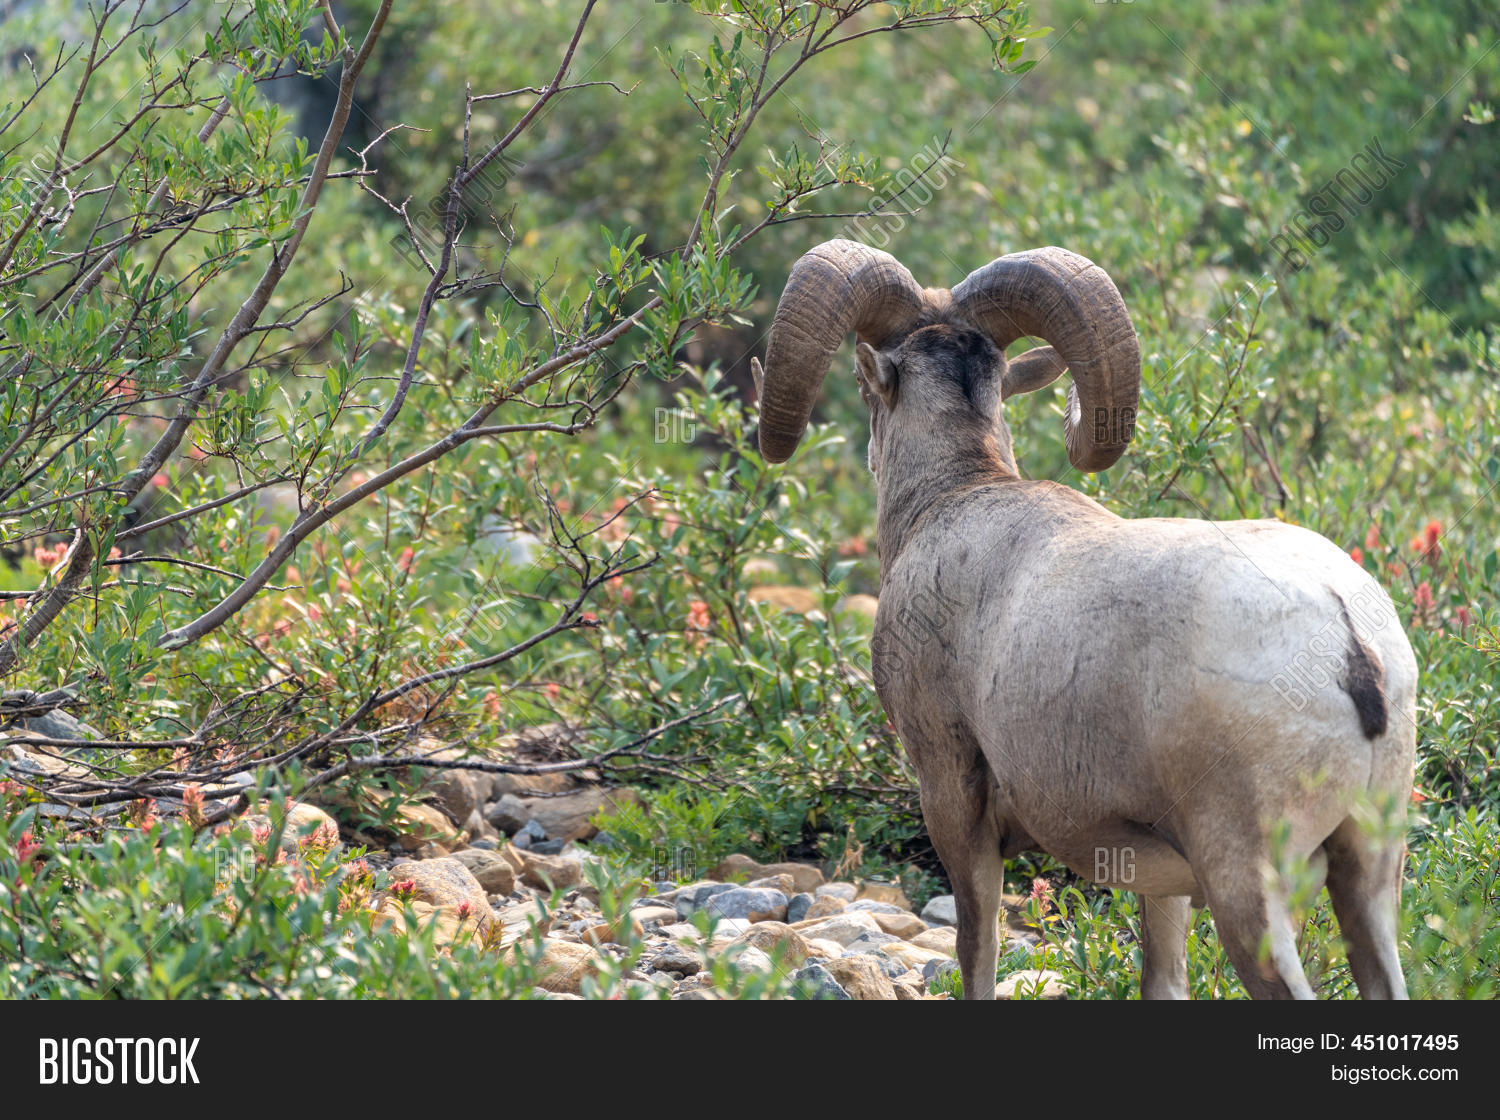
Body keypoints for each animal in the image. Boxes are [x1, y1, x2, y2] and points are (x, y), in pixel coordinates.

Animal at [750, 239, 1417, 1000]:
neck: (952, 498)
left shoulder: (952, 795)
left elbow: (977, 949)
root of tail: (1347, 639)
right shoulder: (1163, 881)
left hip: (1248, 884)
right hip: (1370, 873)